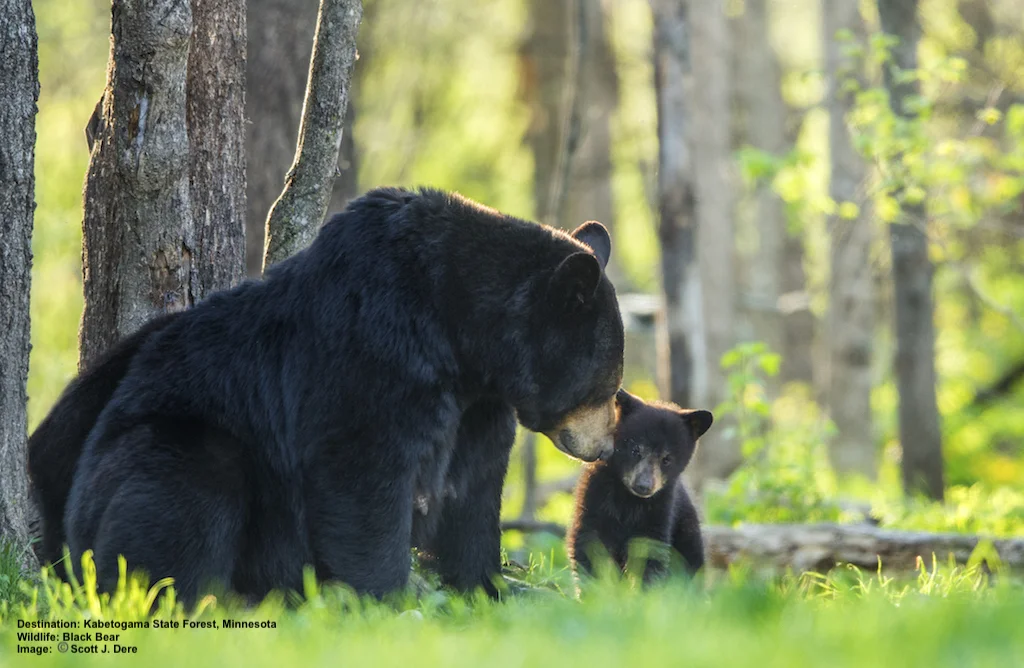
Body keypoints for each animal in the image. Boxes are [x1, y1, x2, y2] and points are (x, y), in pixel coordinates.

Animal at [27, 186, 625, 606]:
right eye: (608, 385)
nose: (606, 447)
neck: (461, 333)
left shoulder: (478, 404)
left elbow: (474, 490)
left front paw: (483, 585)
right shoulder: (373, 347)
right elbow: (362, 471)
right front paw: (384, 595)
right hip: (168, 444)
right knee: (177, 499)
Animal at [566, 389, 713, 585]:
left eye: (667, 459)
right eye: (635, 449)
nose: (643, 485)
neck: (628, 500)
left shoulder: (660, 510)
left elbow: (651, 553)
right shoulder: (594, 498)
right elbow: (588, 543)